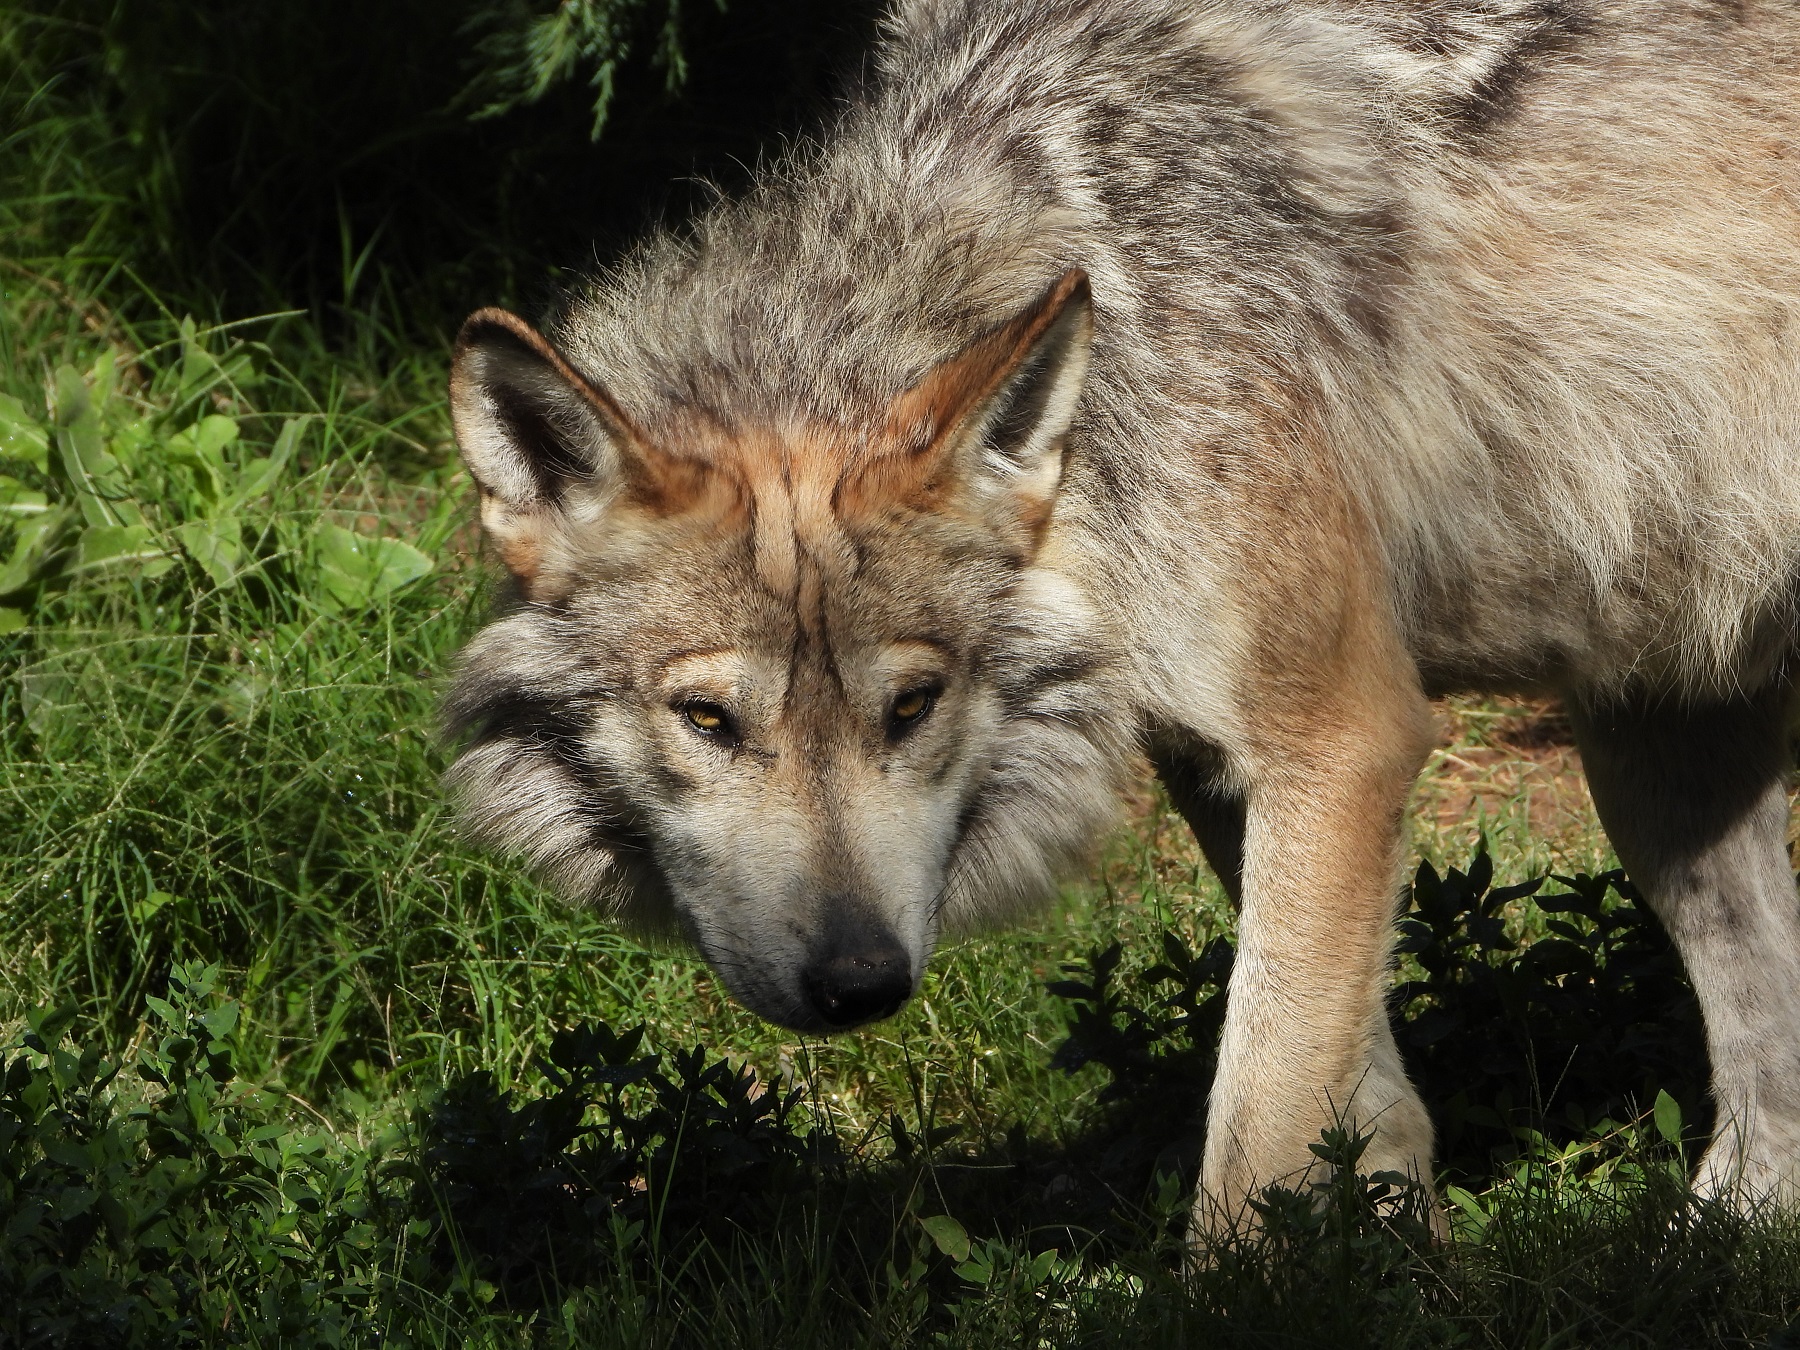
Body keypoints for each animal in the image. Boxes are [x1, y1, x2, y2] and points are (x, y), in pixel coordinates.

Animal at [442, 0, 1800, 1230]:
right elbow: (1355, 1093)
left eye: (913, 705)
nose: (858, 983)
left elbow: (1257, 1123)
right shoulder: (1214, 763)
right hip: (1657, 759)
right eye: (710, 719)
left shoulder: (1343, 738)